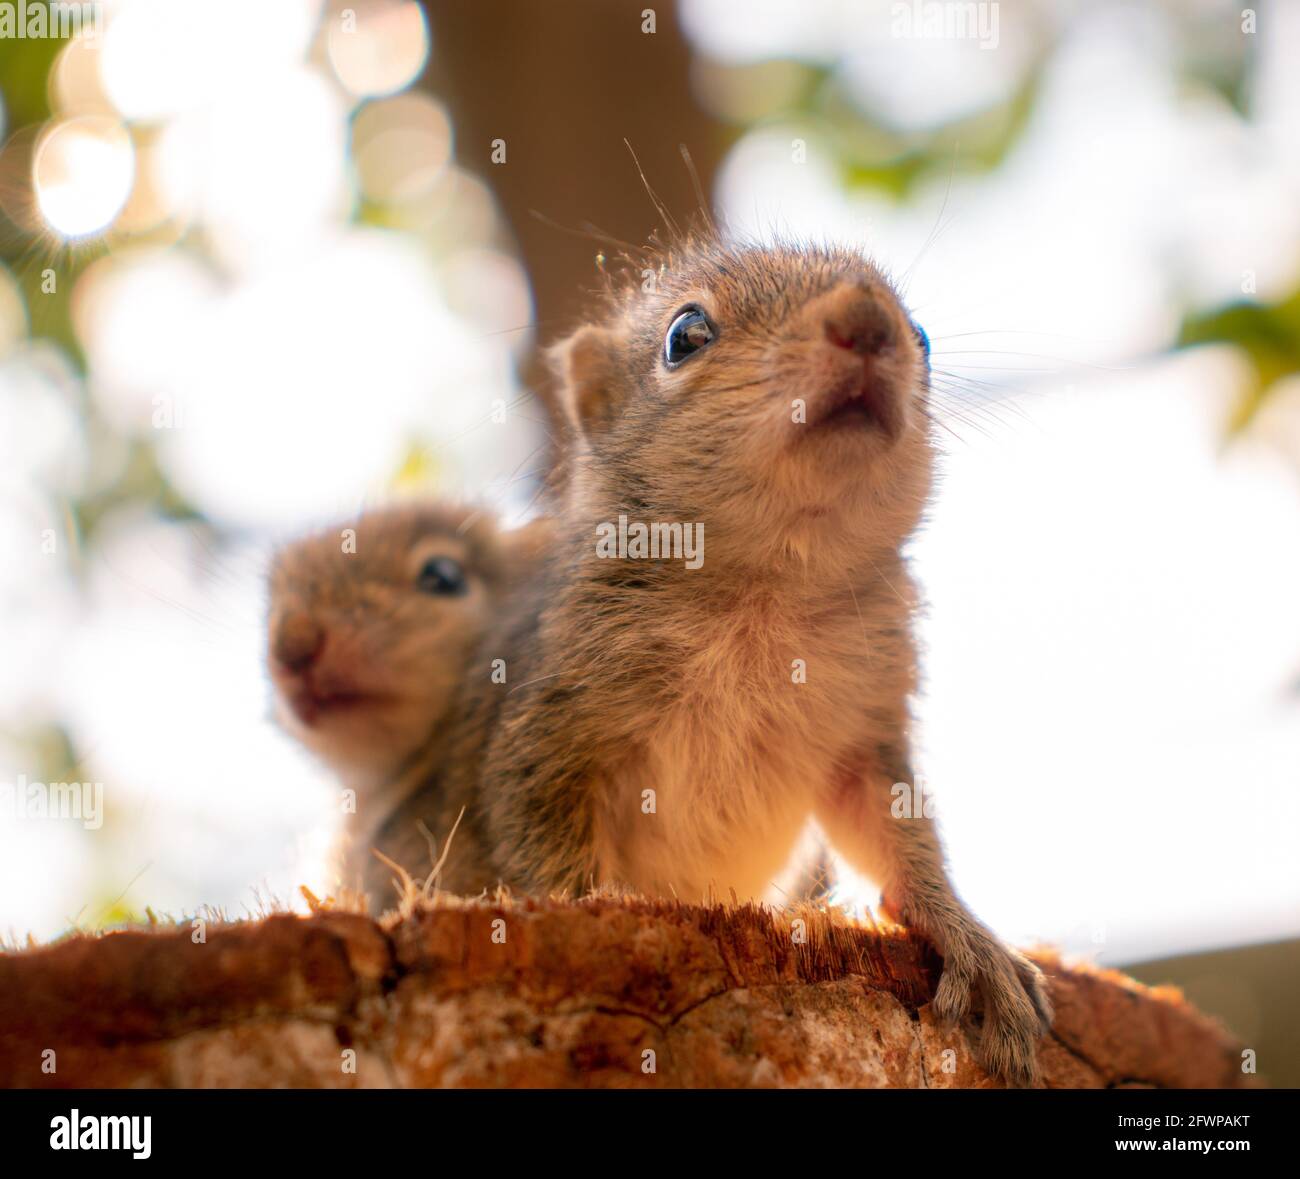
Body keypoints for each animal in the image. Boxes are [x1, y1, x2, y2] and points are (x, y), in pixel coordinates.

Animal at [378, 233, 1052, 1085]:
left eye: (924, 336)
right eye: (685, 335)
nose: (868, 322)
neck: (767, 585)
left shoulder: (863, 724)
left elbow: (893, 830)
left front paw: (969, 937)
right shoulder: (552, 724)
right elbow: (542, 839)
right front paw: (593, 917)